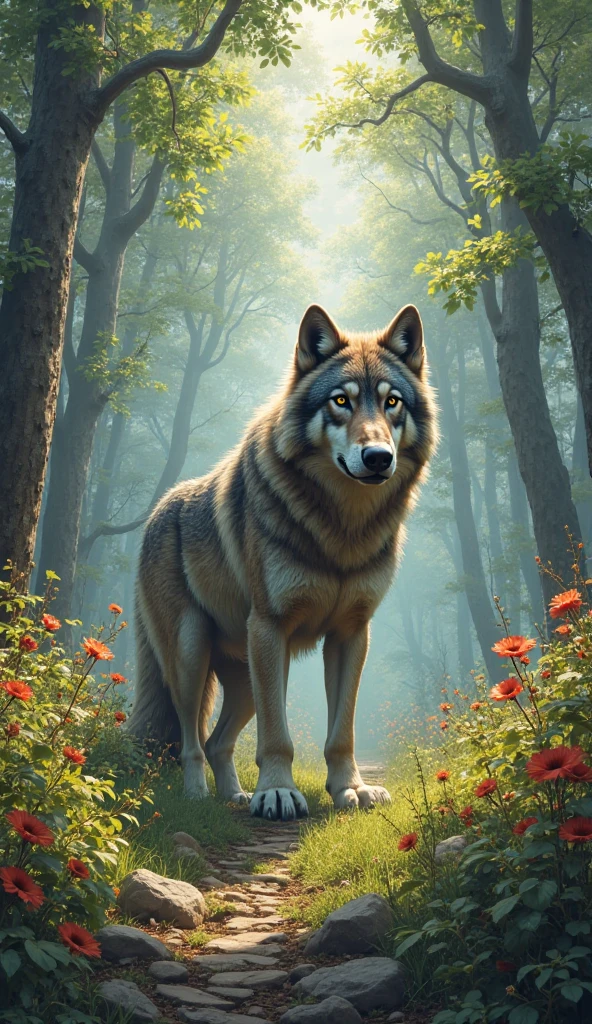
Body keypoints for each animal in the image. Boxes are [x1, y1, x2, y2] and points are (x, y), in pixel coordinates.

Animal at [128, 303, 437, 820]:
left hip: (246, 677)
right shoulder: (270, 627)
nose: (377, 457)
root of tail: (154, 513)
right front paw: (276, 792)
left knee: (217, 742)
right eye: (341, 401)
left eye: (392, 402)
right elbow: (278, 735)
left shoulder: (352, 634)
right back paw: (198, 797)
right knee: (192, 740)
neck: (341, 531)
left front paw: (350, 789)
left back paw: (233, 797)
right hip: (196, 656)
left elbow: (341, 732)